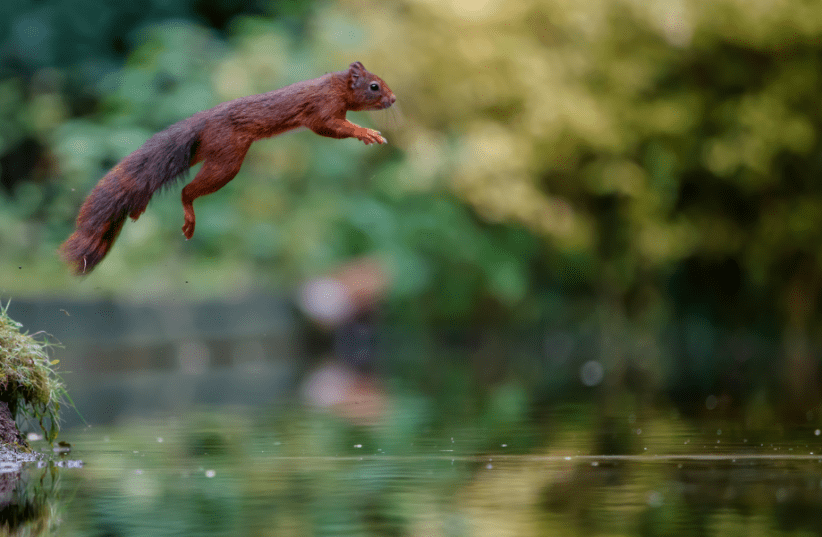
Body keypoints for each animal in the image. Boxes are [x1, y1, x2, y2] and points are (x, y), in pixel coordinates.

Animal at [60, 61, 395, 274]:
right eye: (374, 86)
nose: (393, 99)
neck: (336, 85)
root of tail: (204, 123)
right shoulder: (322, 110)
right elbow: (331, 127)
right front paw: (366, 133)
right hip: (227, 161)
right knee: (186, 190)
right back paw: (187, 217)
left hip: (205, 155)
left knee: (151, 179)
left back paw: (137, 207)